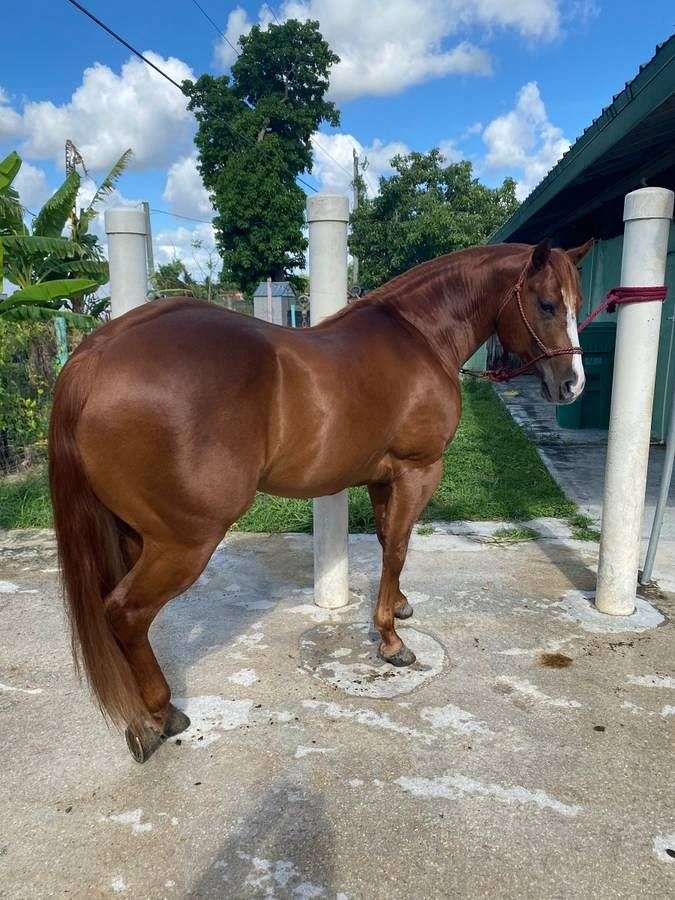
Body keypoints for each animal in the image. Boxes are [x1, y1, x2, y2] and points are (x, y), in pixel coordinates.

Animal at [48, 237, 593, 762]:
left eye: (577, 303)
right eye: (546, 304)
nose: (572, 385)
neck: (418, 337)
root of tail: (94, 357)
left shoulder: (382, 477)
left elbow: (386, 541)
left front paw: (398, 606)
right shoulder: (418, 470)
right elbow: (399, 548)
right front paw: (391, 641)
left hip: (136, 534)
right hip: (184, 542)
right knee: (125, 613)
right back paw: (161, 715)